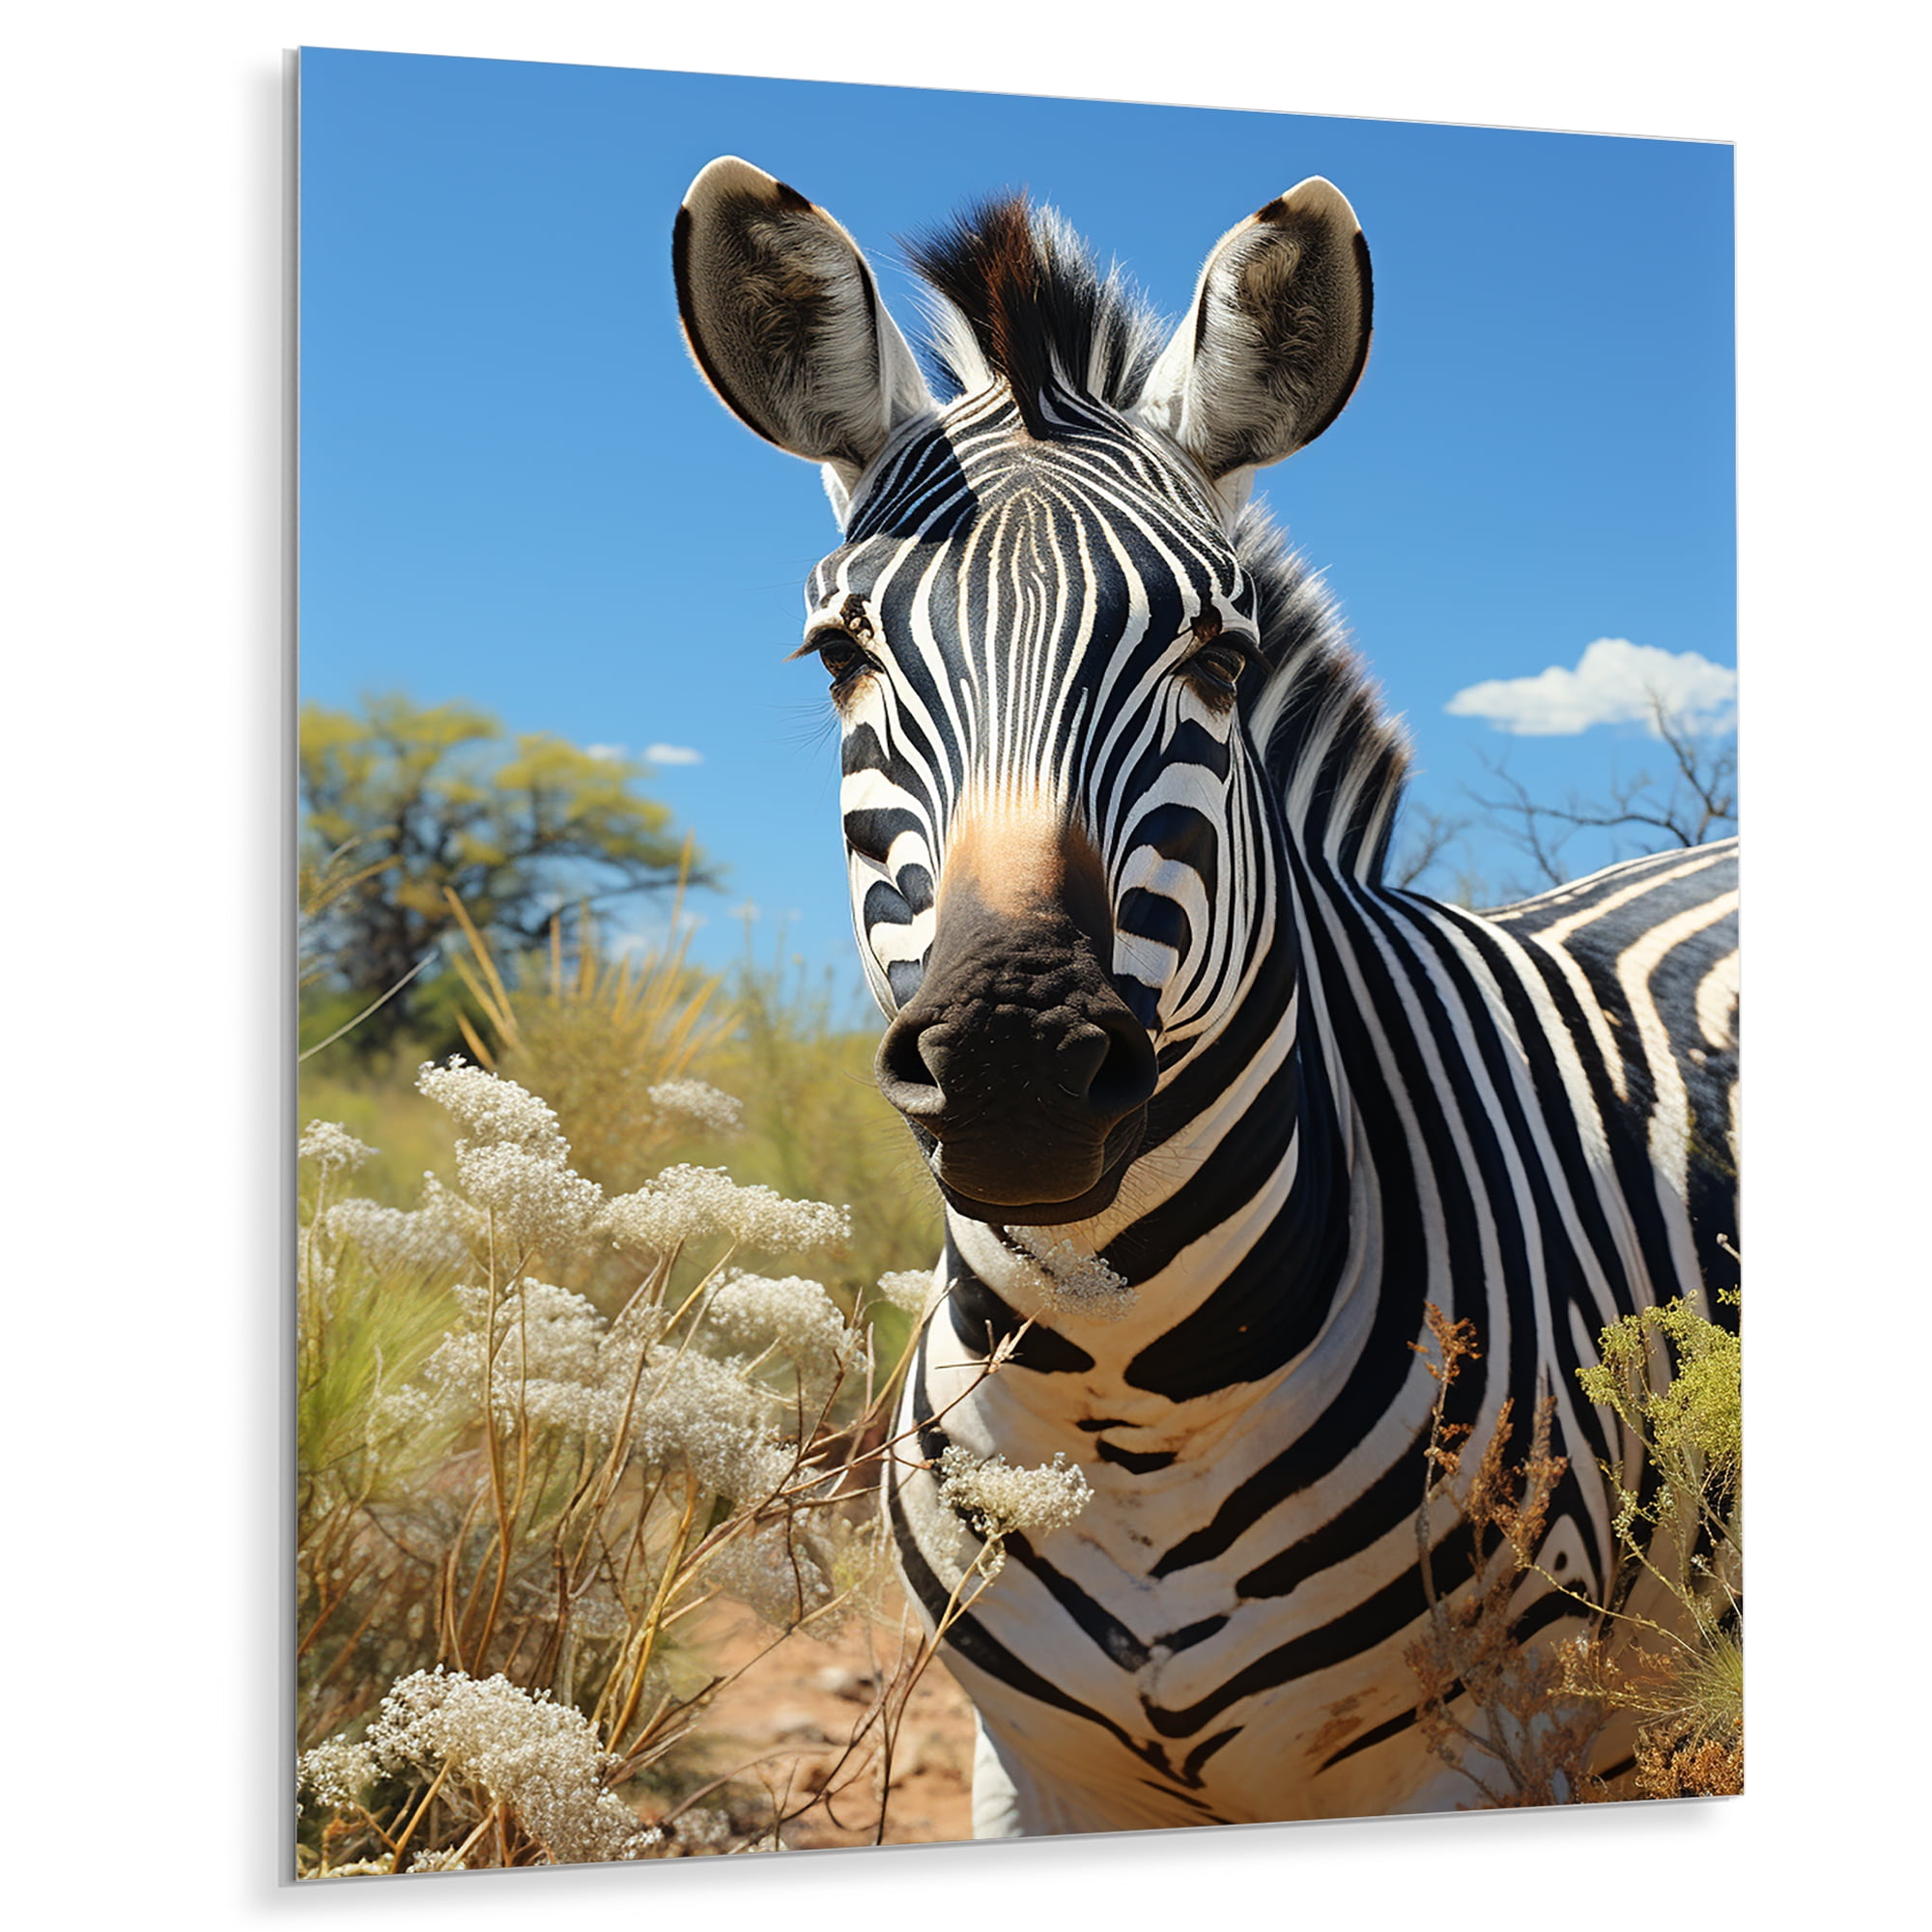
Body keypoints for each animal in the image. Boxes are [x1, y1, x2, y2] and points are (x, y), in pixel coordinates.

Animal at [672, 157, 1740, 1836]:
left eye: (1220, 658)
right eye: (837, 655)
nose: (1016, 1066)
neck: (1126, 1392)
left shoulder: (1480, 1755)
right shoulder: (1030, 1771)